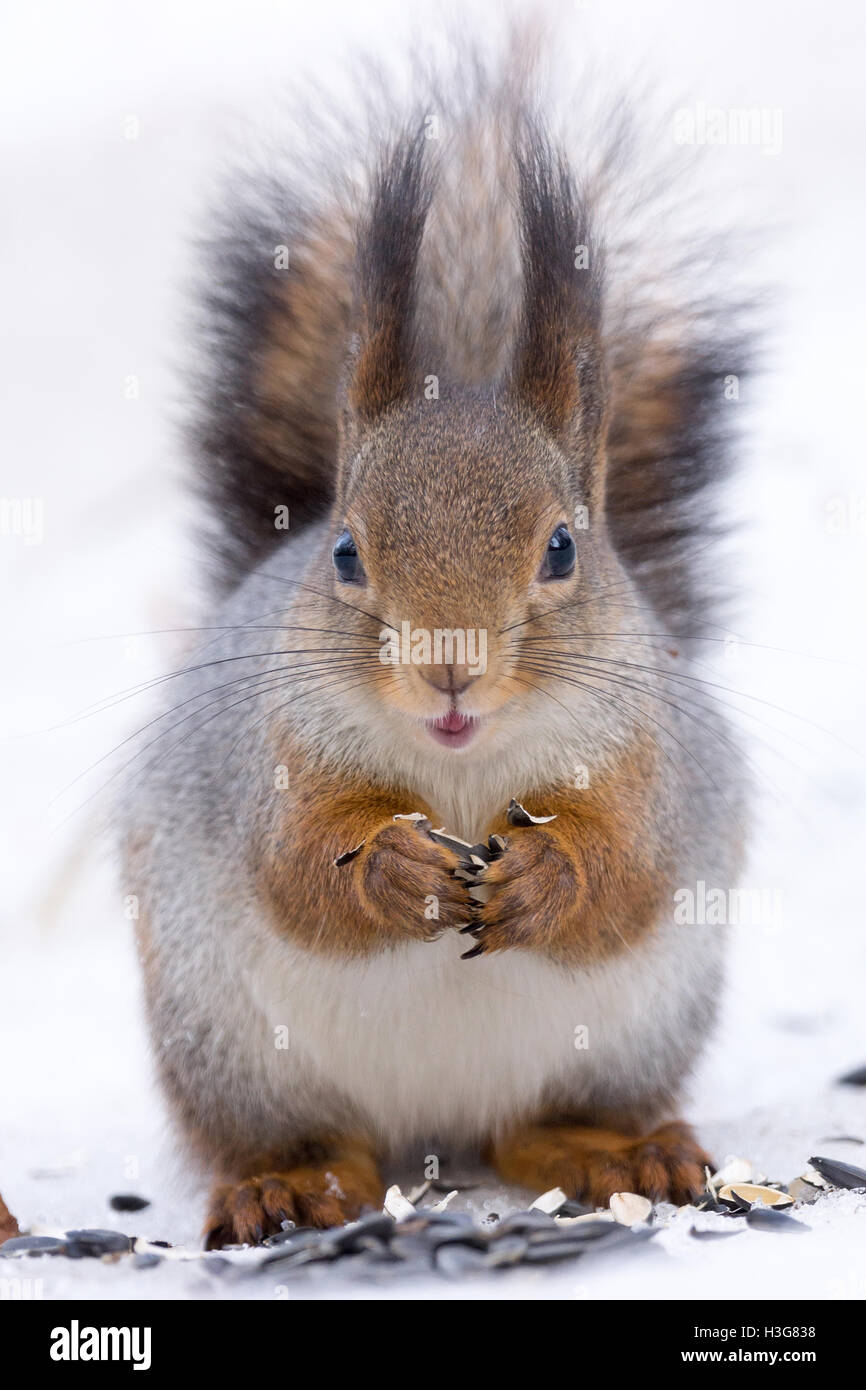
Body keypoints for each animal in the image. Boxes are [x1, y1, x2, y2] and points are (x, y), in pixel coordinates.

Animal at [121, 46, 749, 1246]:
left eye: (562, 547)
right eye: (344, 552)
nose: (447, 668)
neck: (461, 774)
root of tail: (436, 1136)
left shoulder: (650, 766)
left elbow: (627, 875)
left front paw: (548, 873)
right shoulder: (273, 760)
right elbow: (297, 870)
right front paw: (392, 865)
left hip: (633, 1034)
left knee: (536, 1128)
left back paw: (616, 1152)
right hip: (229, 1047)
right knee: (310, 1143)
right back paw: (288, 1185)